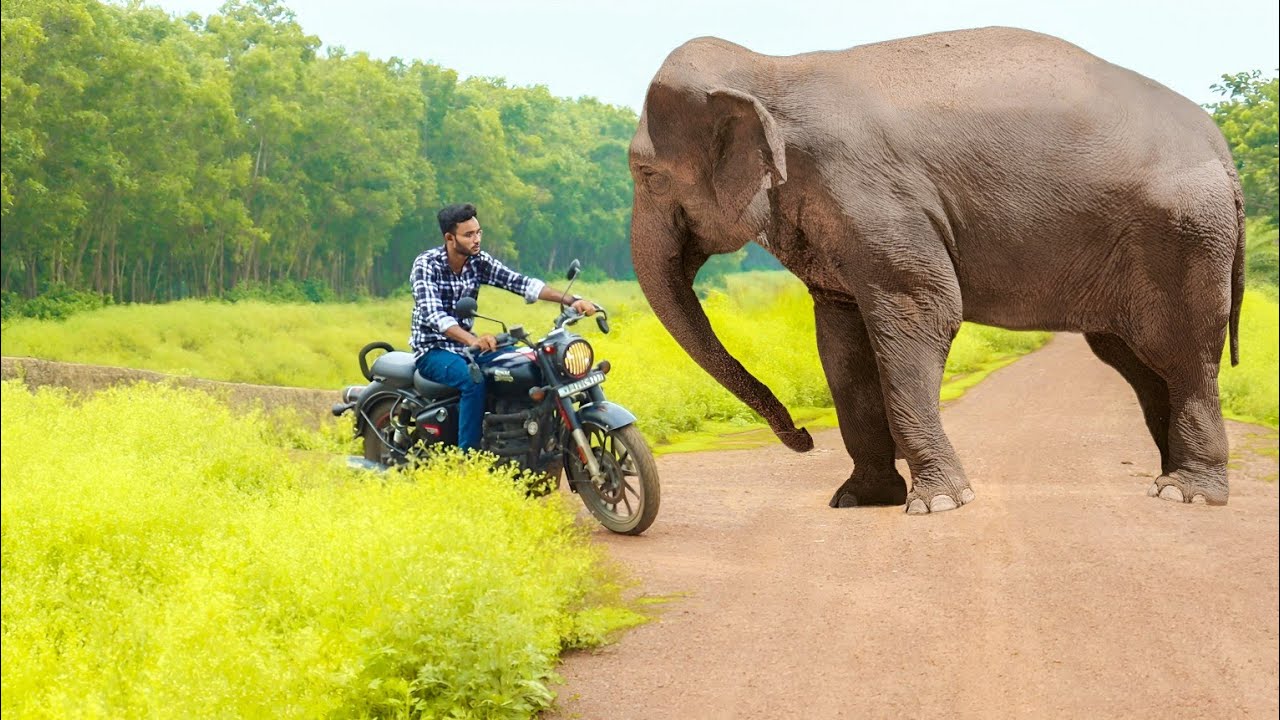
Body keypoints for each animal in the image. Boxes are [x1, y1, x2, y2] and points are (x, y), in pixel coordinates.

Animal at [628, 27, 1245, 514]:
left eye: (647, 176)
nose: (802, 436)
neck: (769, 69)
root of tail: (1220, 143)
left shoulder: (877, 199)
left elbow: (922, 315)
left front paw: (940, 503)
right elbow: (841, 345)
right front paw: (859, 499)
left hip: (1183, 237)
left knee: (1181, 352)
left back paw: (1189, 494)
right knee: (1136, 359)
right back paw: (1167, 480)